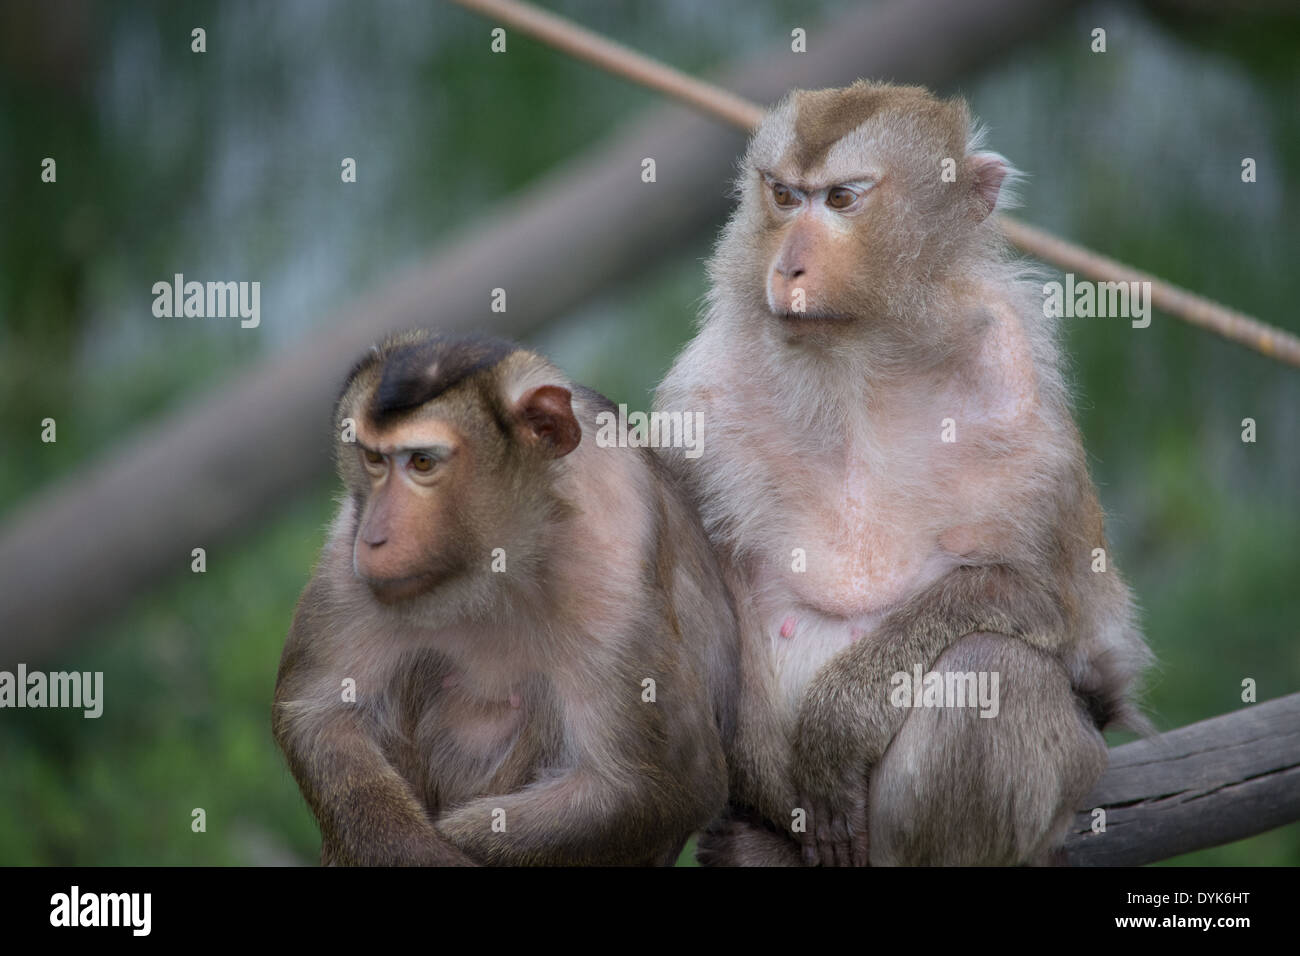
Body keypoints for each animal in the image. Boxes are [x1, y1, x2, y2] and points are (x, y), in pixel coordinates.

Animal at [272, 331, 739, 866]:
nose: (373, 538)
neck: (500, 557)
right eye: (373, 459)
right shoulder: (345, 544)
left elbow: (654, 784)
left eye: (422, 462)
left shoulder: (614, 558)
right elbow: (320, 716)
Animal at [653, 80, 1152, 866]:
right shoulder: (693, 405)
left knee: (991, 668)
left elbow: (1038, 596)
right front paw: (797, 803)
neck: (856, 366)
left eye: (842, 199)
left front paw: (835, 728)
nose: (787, 267)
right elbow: (705, 615)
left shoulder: (1012, 377)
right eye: (785, 197)